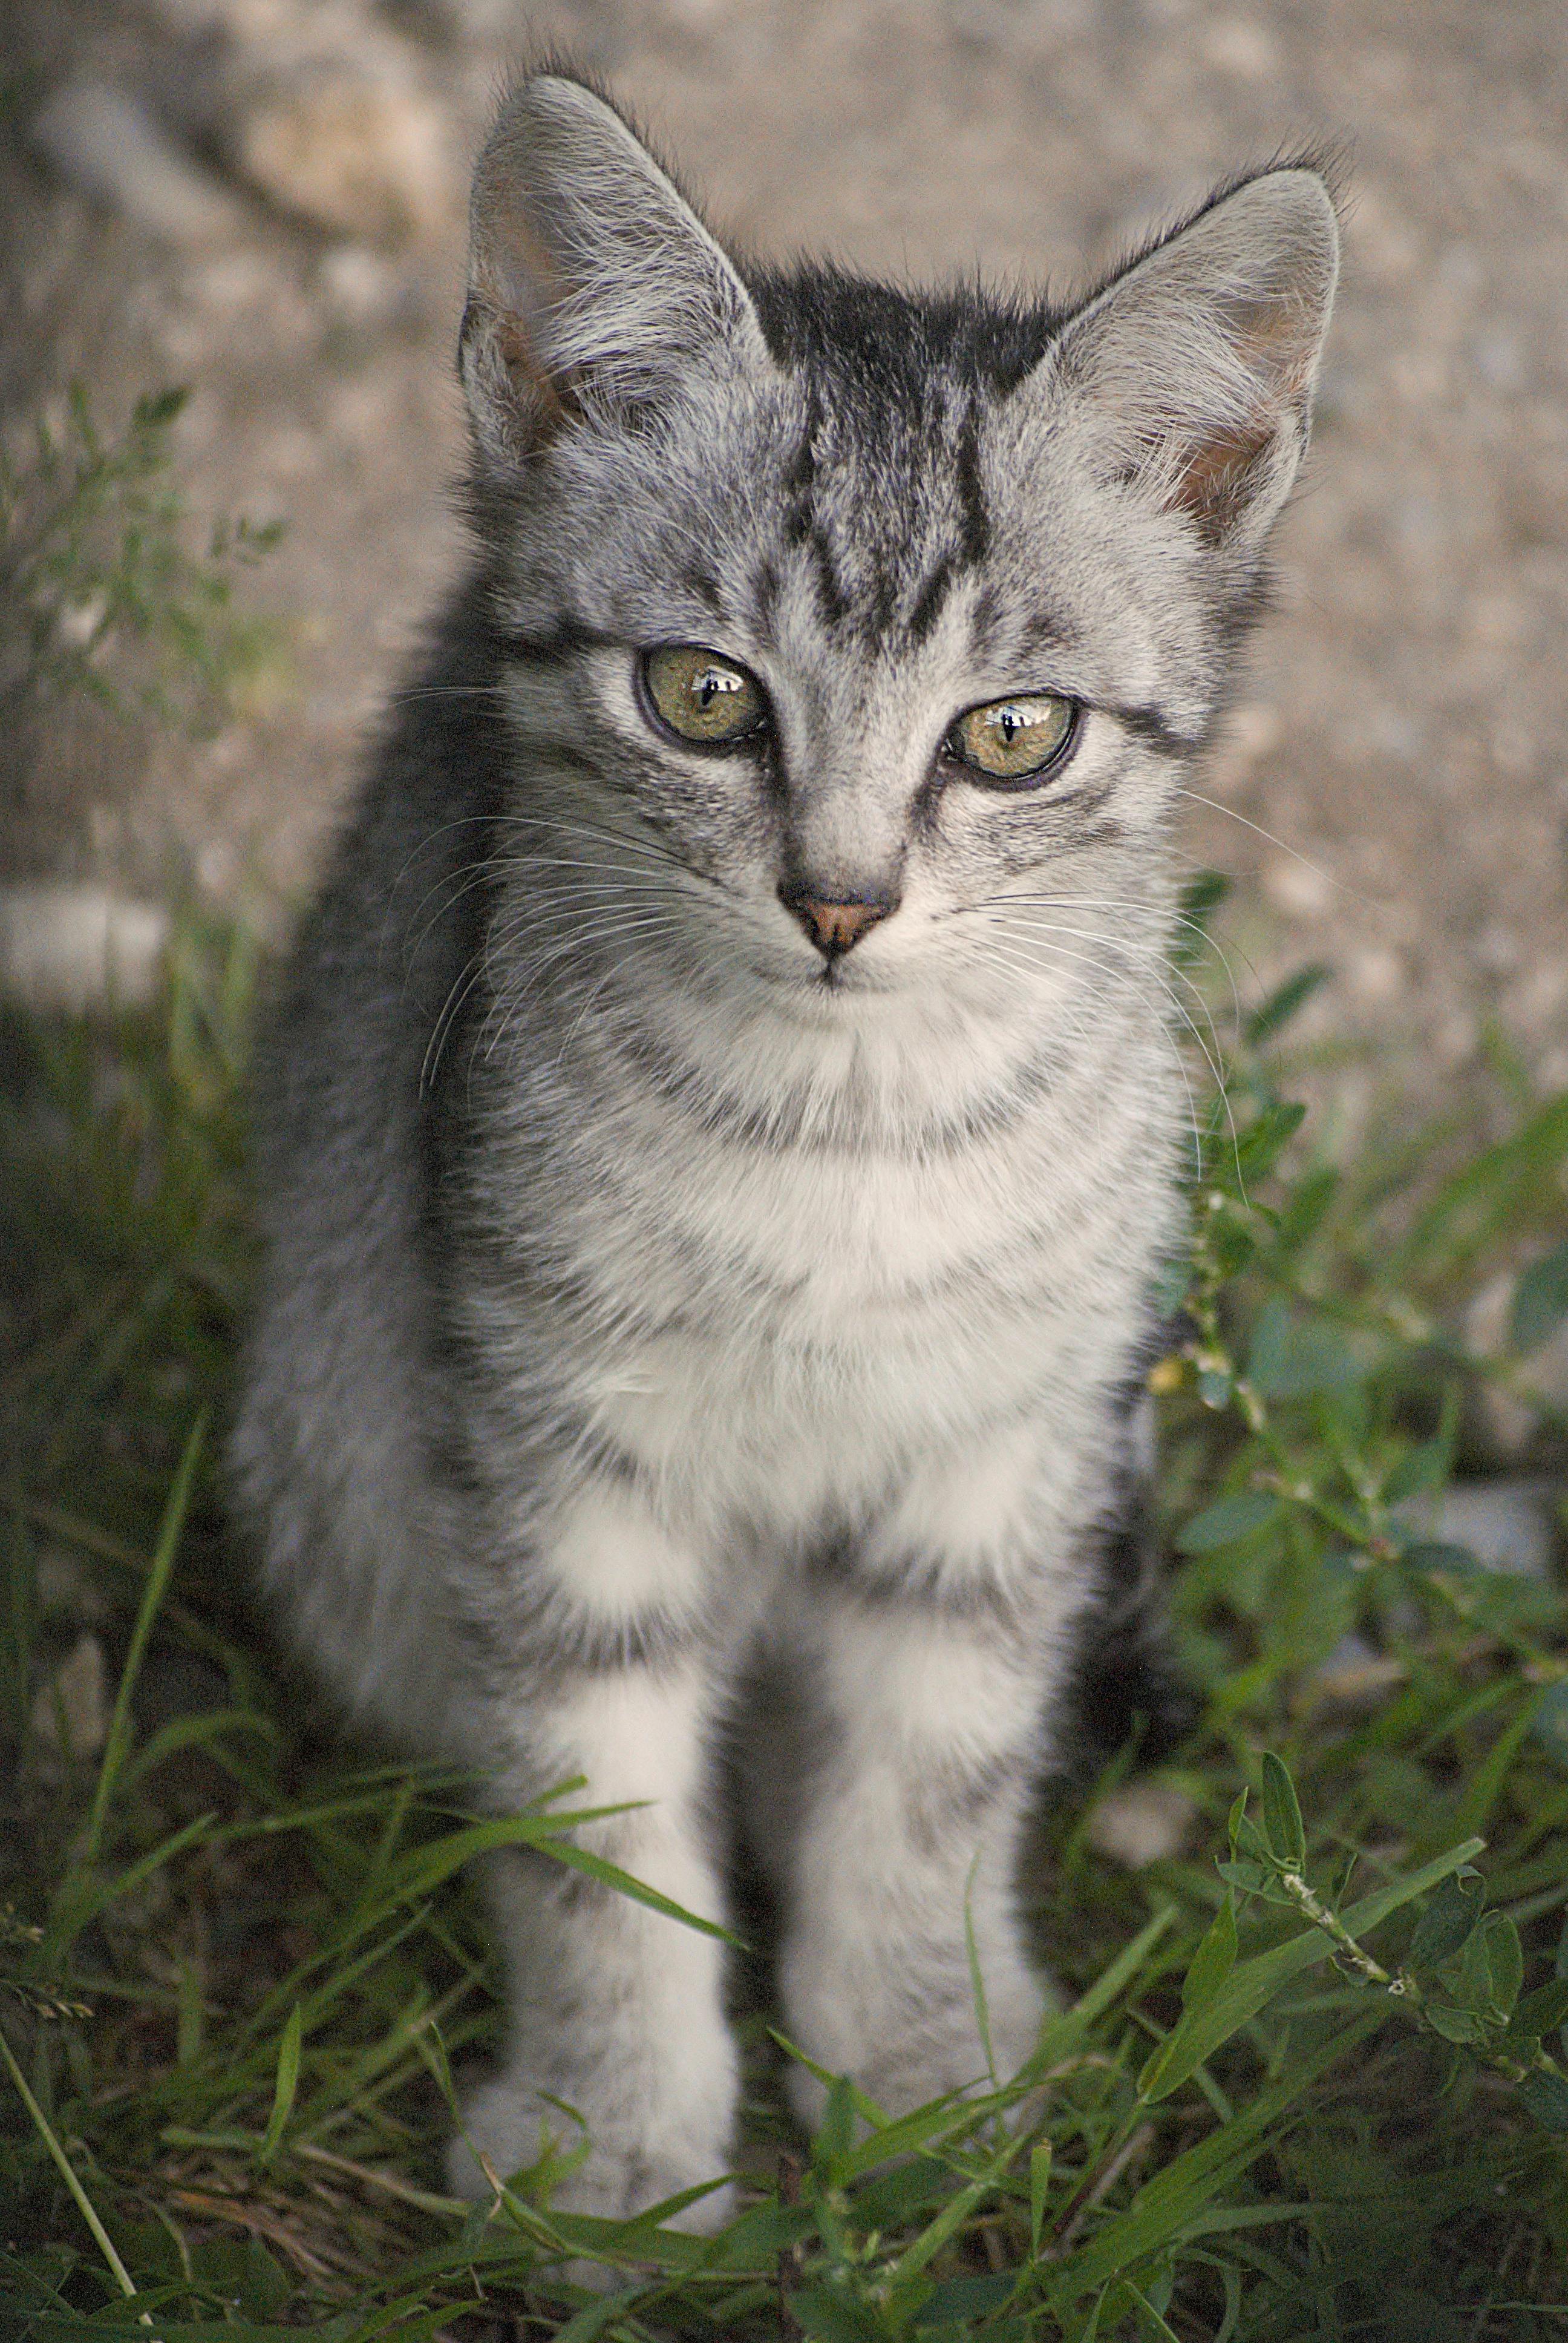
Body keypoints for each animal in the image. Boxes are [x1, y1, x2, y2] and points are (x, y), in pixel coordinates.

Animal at [232, 68, 1331, 2230]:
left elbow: (929, 1787)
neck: (842, 1140)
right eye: (702, 695)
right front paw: (617, 2150)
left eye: (1013, 736)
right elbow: (595, 1836)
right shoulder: (546, 1449)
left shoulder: (999, 1459)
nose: (839, 903)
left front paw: (913, 2064)